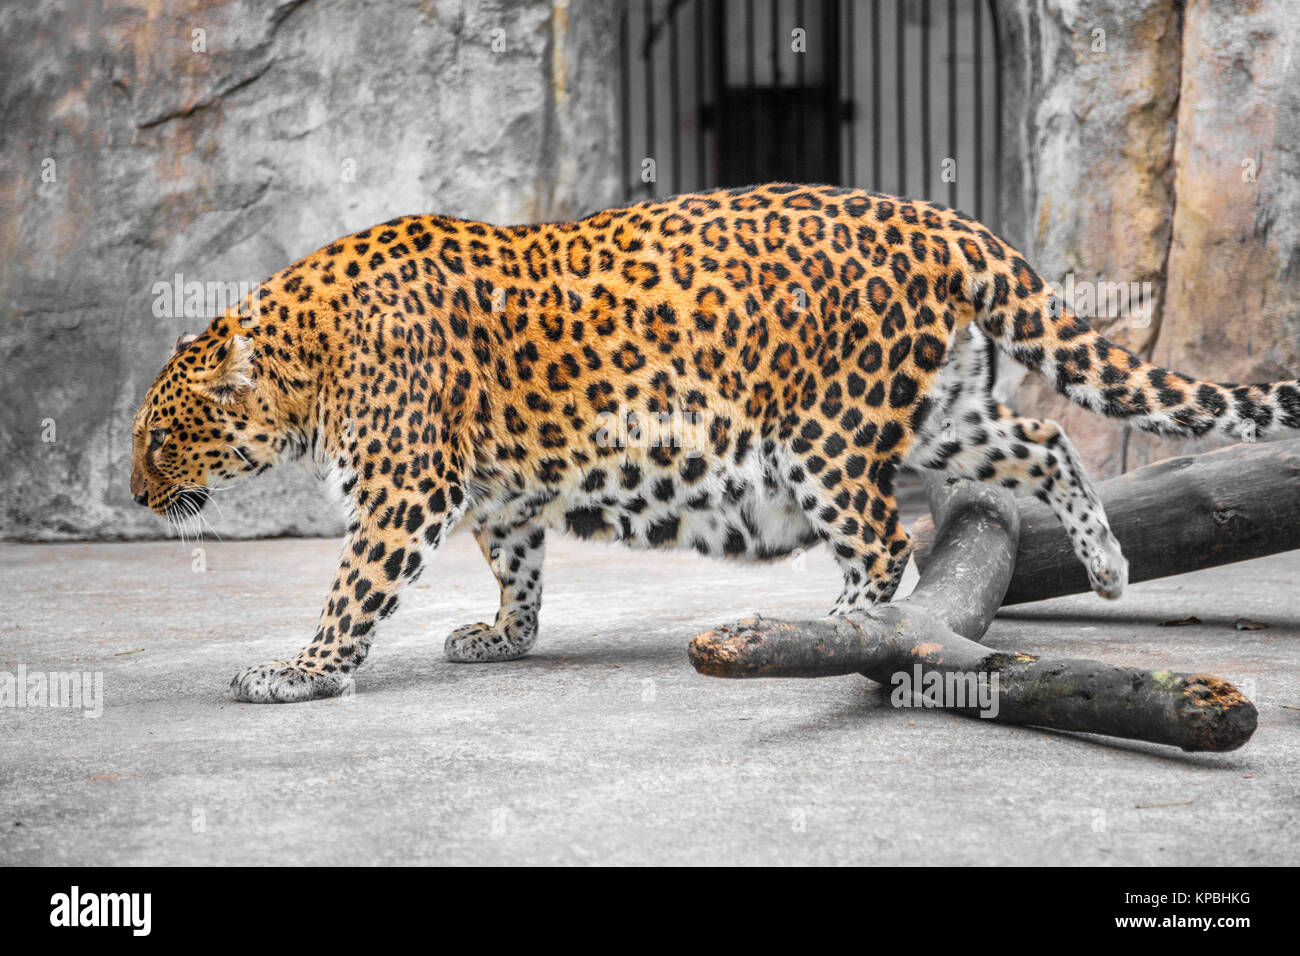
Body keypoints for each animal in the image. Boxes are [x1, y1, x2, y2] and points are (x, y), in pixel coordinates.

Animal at [129, 183, 1300, 702]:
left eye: (162, 433)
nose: (138, 496)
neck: (308, 363)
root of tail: (944, 219)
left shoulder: (404, 491)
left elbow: (352, 591)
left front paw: (295, 671)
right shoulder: (501, 492)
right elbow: (518, 566)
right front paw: (503, 637)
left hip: (825, 429)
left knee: (883, 539)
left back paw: (832, 624)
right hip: (939, 413)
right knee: (1043, 435)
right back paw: (1105, 565)